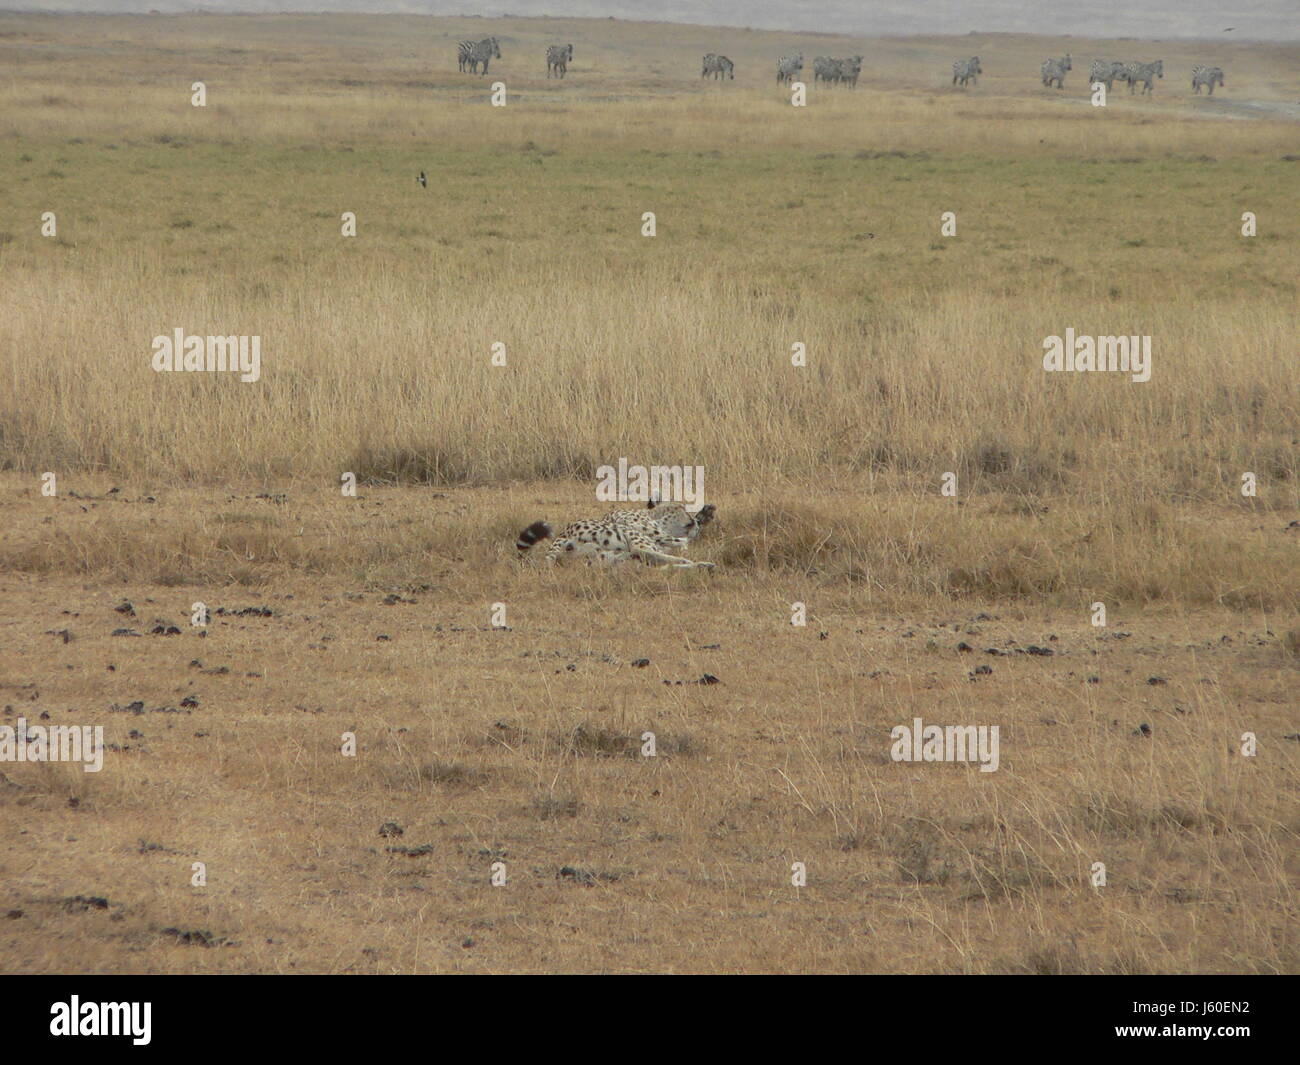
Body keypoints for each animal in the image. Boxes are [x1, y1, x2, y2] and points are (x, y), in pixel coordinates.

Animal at [516, 500, 716, 569]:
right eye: (681, 507)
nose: (693, 520)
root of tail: (564, 534)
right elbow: (681, 543)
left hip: (610, 559)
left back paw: (704, 566)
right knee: (653, 556)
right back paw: (700, 564)